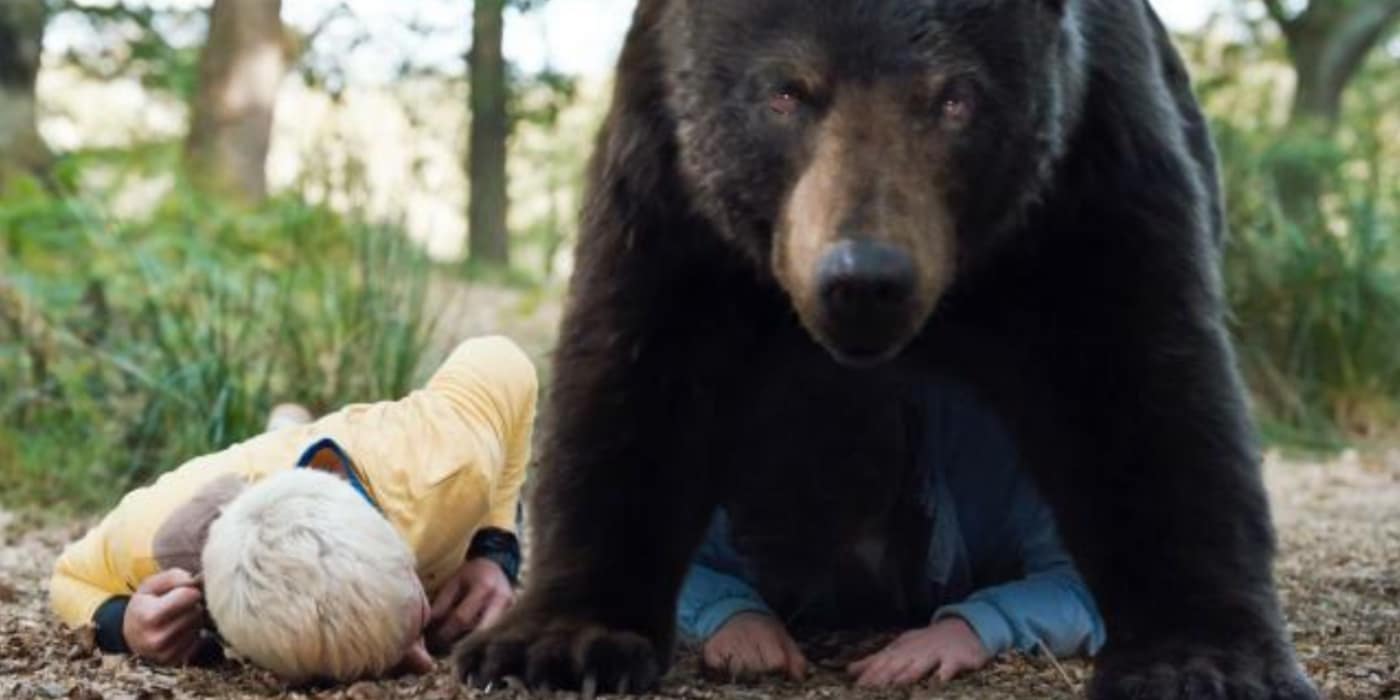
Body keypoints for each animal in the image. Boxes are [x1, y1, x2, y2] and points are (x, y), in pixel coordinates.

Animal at [455, 1, 1318, 698]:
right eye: (787, 91)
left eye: (955, 96)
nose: (865, 277)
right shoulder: (668, 164)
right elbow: (636, 365)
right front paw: (556, 644)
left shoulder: (1093, 158)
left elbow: (1143, 382)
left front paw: (1202, 660)